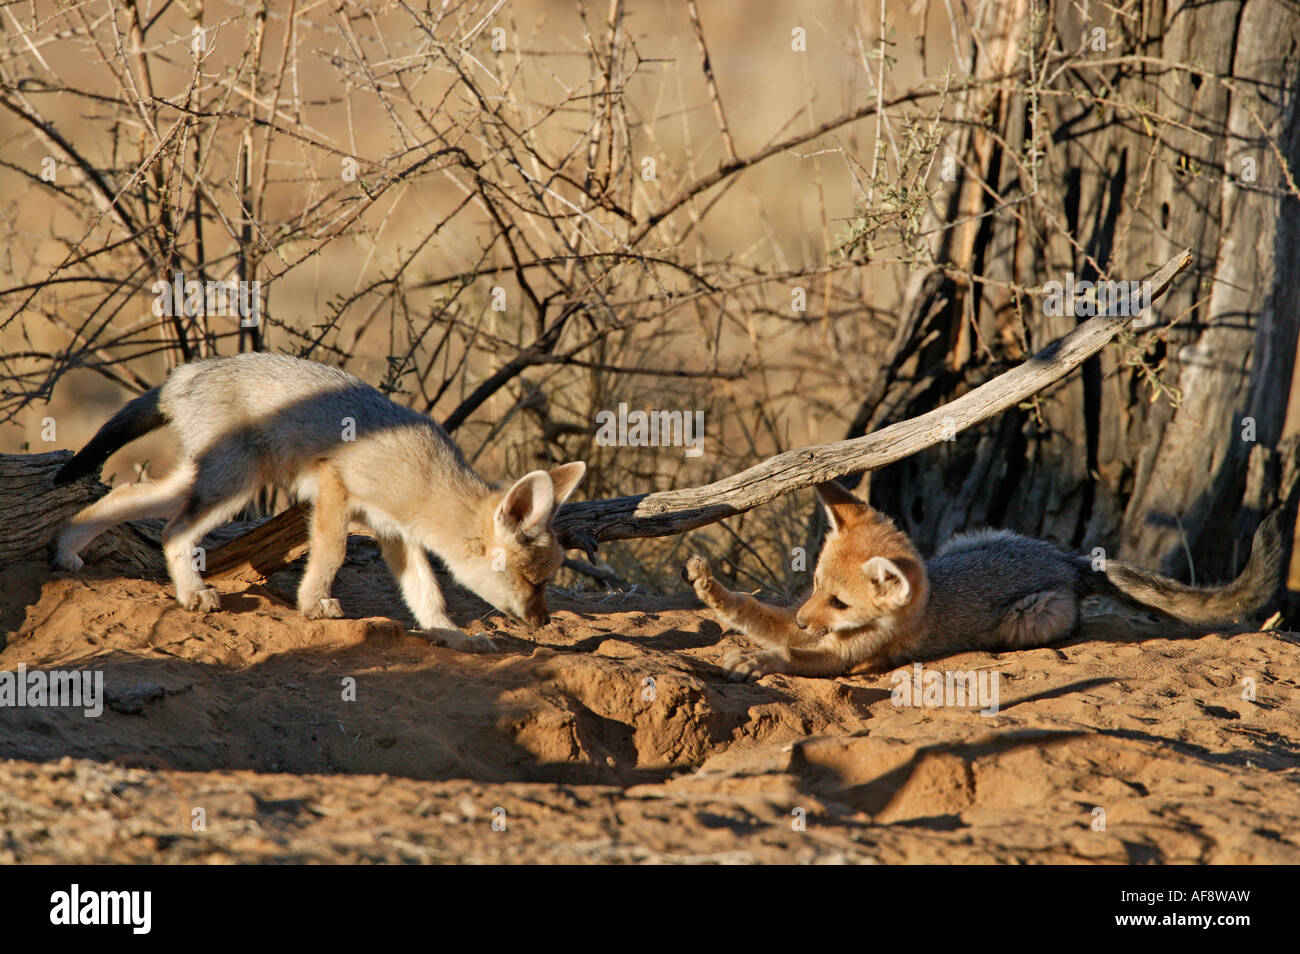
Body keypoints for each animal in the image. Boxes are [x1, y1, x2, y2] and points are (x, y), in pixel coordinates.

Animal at [51, 352, 587, 652]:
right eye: (534, 583)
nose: (544, 621)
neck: (428, 478)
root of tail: (184, 372)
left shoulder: (396, 533)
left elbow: (426, 593)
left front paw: (450, 634)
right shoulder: (336, 486)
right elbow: (332, 552)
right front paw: (312, 604)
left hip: (207, 479)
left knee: (125, 495)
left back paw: (66, 549)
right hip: (232, 486)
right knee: (171, 529)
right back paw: (189, 592)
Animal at [684, 480, 1286, 680]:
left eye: (839, 601)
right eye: (812, 589)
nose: (811, 619)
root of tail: (1065, 558)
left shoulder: (847, 655)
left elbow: (792, 653)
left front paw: (759, 660)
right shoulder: (803, 622)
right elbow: (763, 615)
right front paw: (713, 590)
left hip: (1029, 619)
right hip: (968, 537)